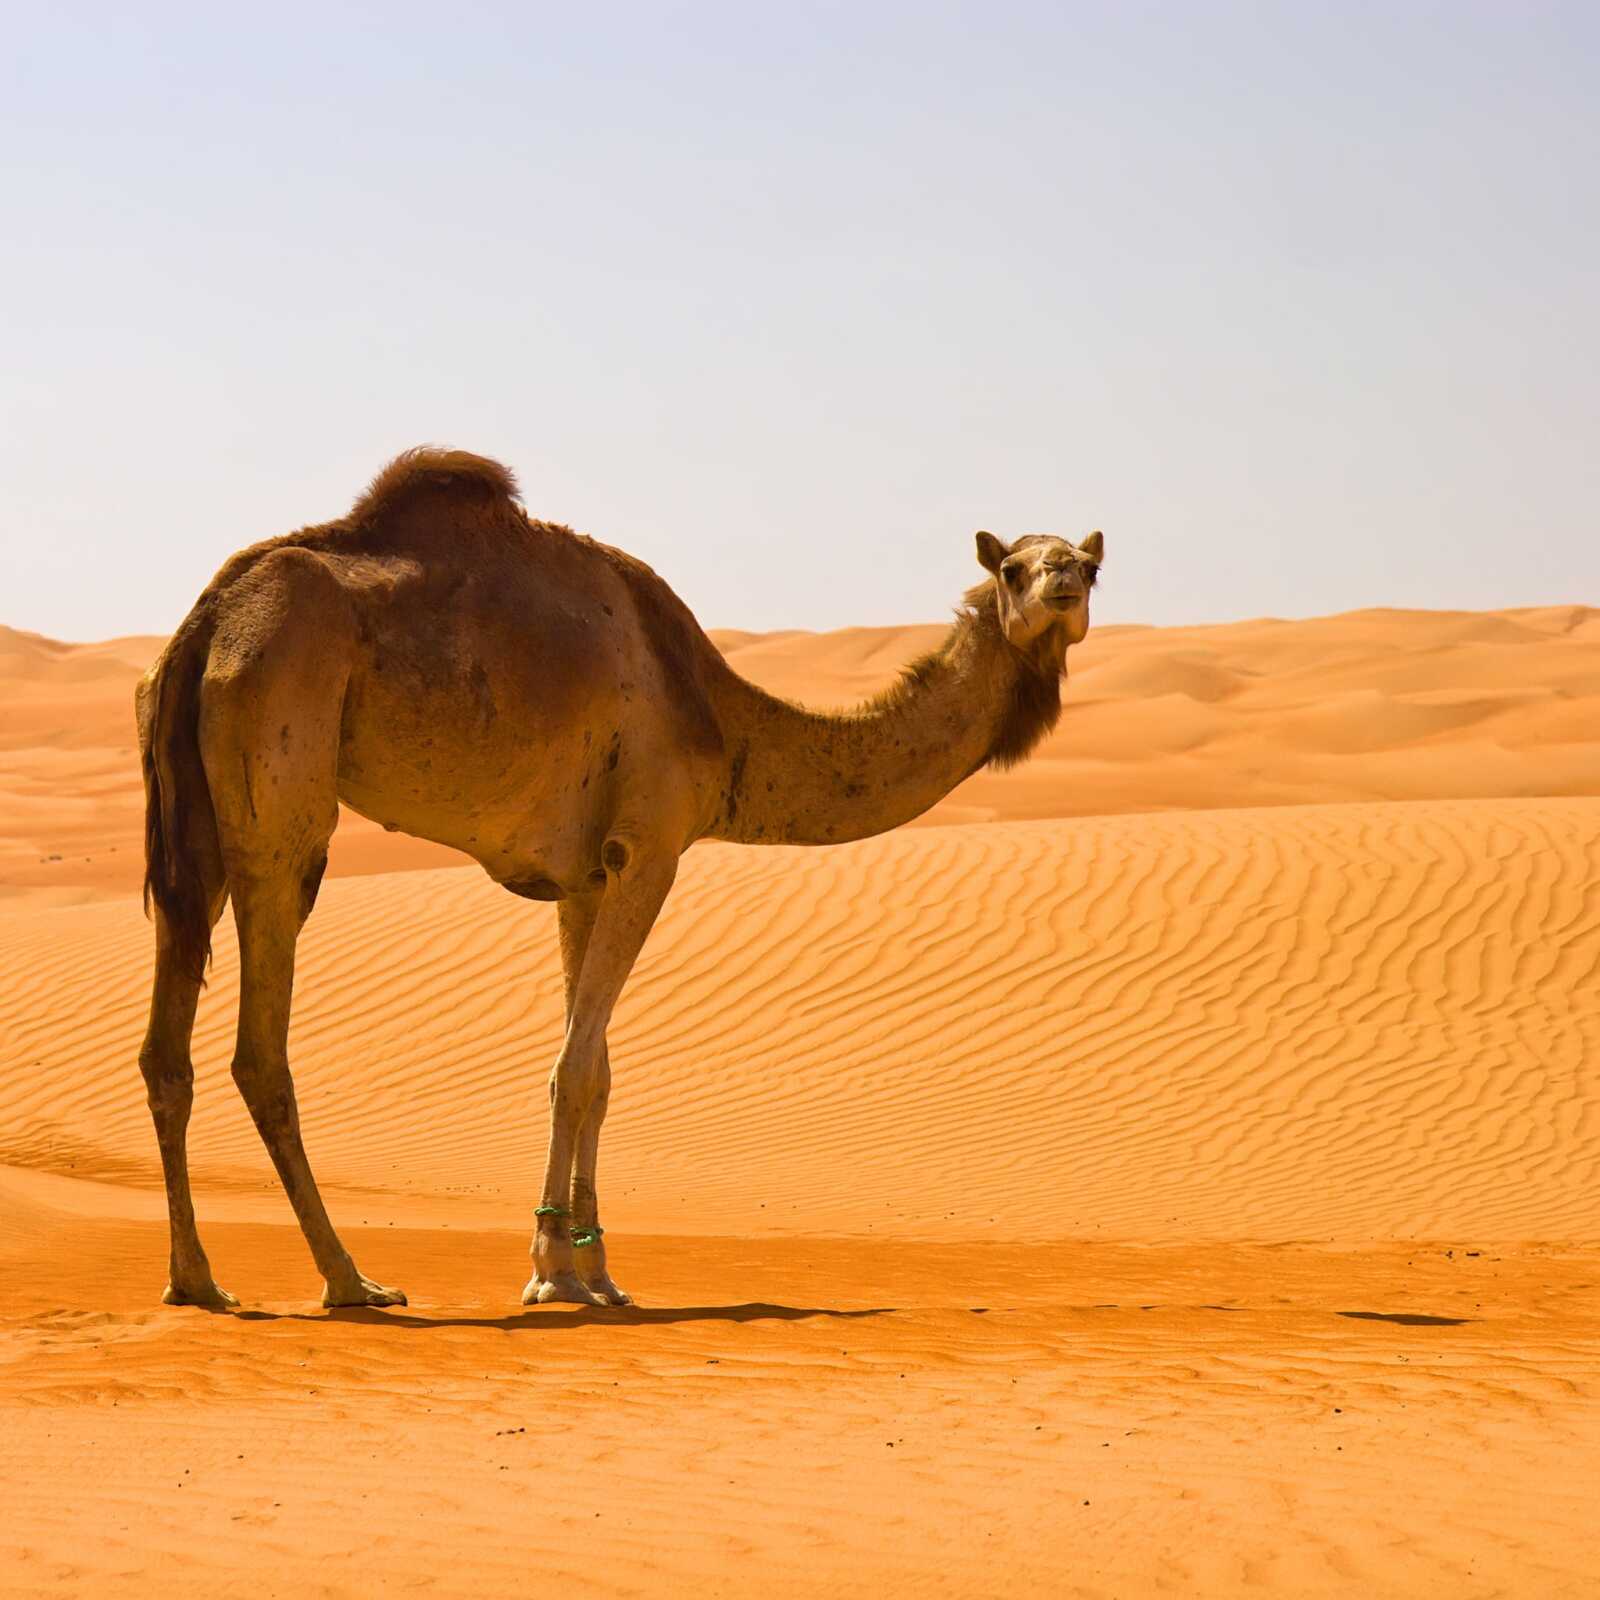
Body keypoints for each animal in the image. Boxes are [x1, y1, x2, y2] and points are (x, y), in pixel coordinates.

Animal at [137, 448, 1103, 1310]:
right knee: (261, 1047)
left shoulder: (582, 879)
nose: (1062, 583)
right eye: (1013, 567)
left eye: (1091, 564)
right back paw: (350, 1280)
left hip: (195, 820)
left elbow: (595, 1067)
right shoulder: (651, 846)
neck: (722, 722)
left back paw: (197, 1280)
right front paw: (552, 1274)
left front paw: (592, 1269)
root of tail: (208, 619)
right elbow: (575, 1068)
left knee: (166, 1047)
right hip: (281, 770)